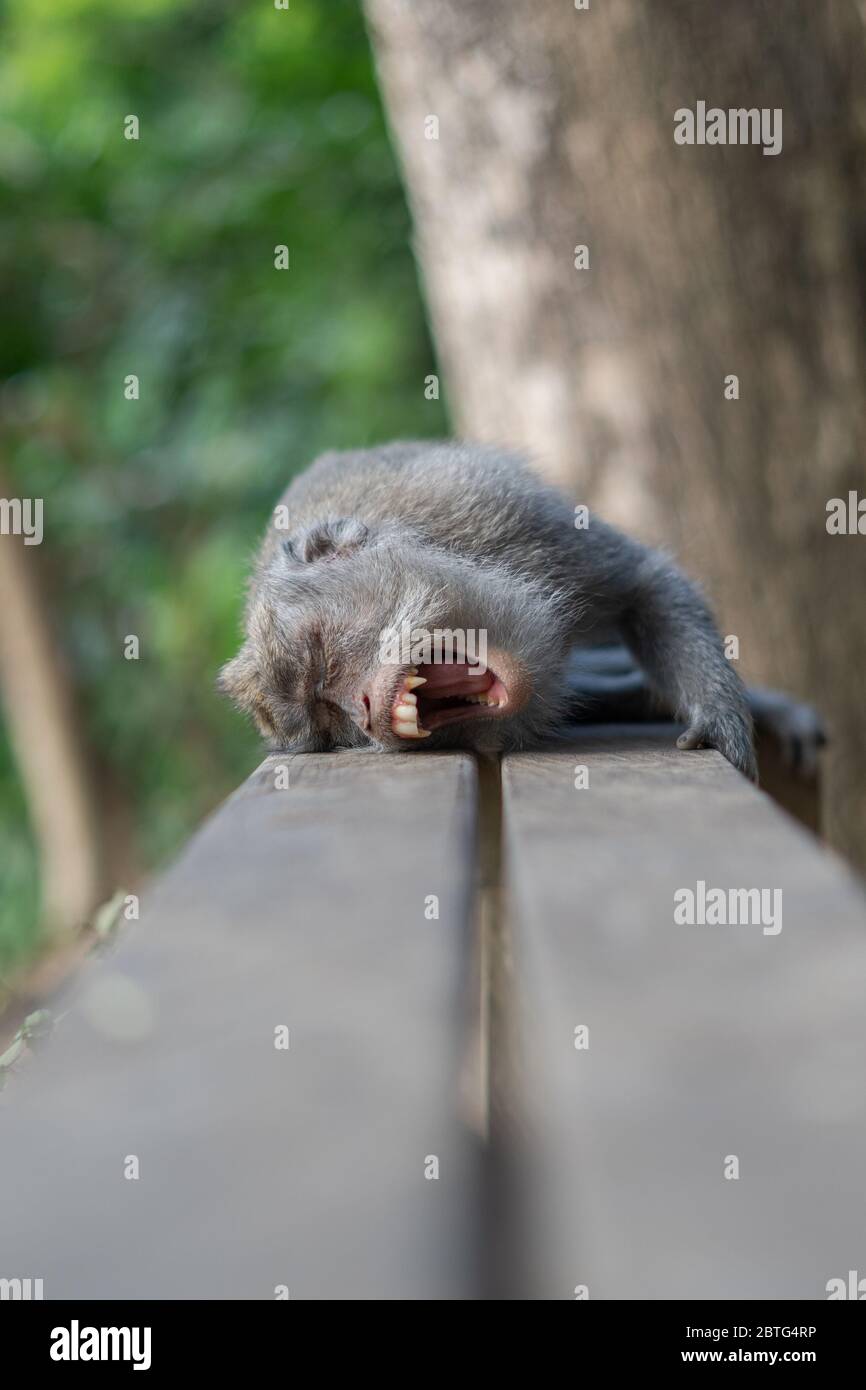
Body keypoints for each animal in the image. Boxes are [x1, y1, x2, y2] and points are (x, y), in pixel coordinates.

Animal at [218, 440, 824, 779]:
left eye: (322, 659)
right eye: (331, 723)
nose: (364, 712)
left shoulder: (493, 512)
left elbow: (644, 586)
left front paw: (721, 723)